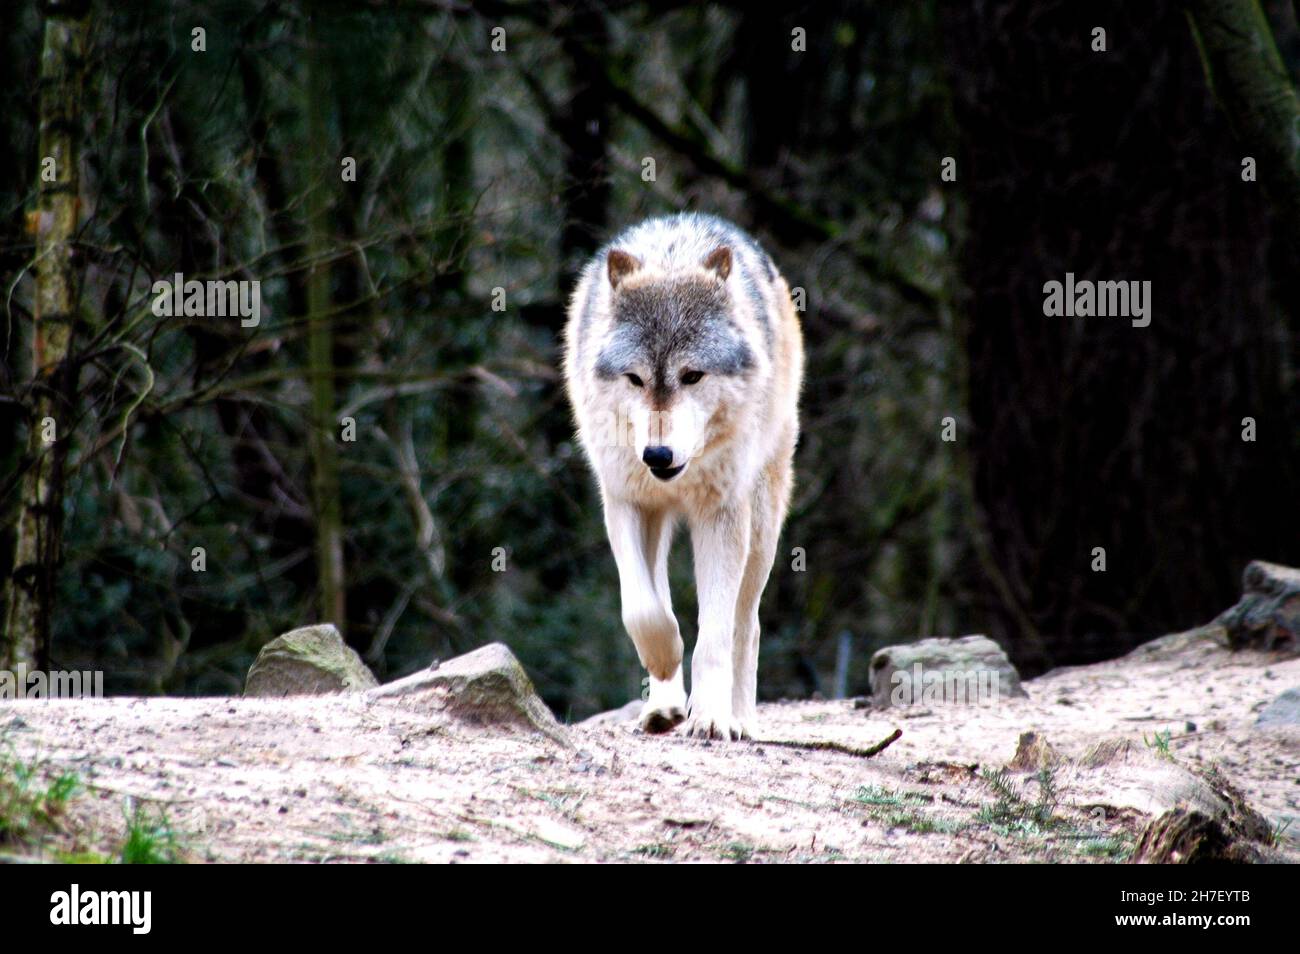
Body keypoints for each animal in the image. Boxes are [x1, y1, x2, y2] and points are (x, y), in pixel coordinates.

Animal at [562, 213, 804, 740]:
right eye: (635, 378)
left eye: (692, 375)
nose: (657, 454)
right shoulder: (625, 501)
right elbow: (643, 610)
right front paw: (664, 656)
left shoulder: (722, 514)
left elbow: (715, 635)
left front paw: (711, 717)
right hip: (658, 521)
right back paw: (662, 705)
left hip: (761, 525)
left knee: (746, 624)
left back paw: (740, 718)